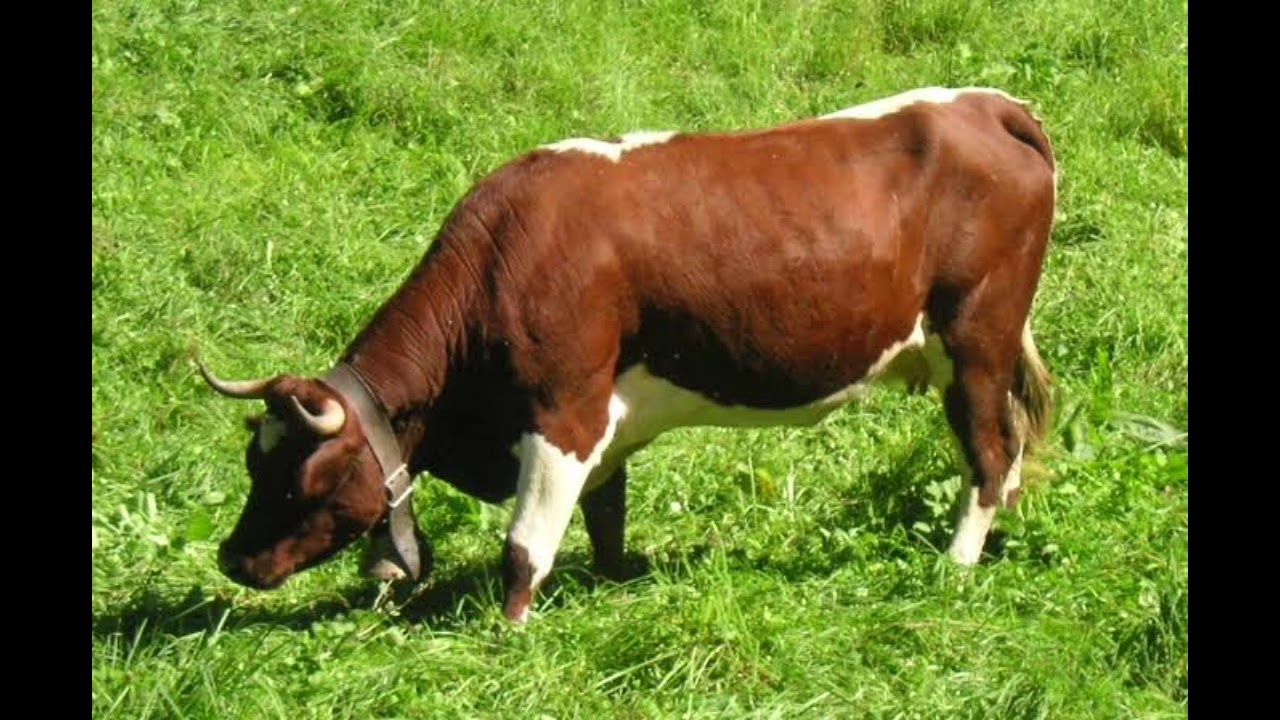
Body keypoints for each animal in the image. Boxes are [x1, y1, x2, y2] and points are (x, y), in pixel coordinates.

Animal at [200, 86, 1055, 624]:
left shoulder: (562, 411)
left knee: (988, 452)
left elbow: (524, 546)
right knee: (1006, 449)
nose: (232, 559)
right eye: (251, 460)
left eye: (301, 476)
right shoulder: (605, 419)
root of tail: (989, 105)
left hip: (976, 341)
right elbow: (605, 517)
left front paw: (508, 631)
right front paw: (611, 589)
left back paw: (956, 563)